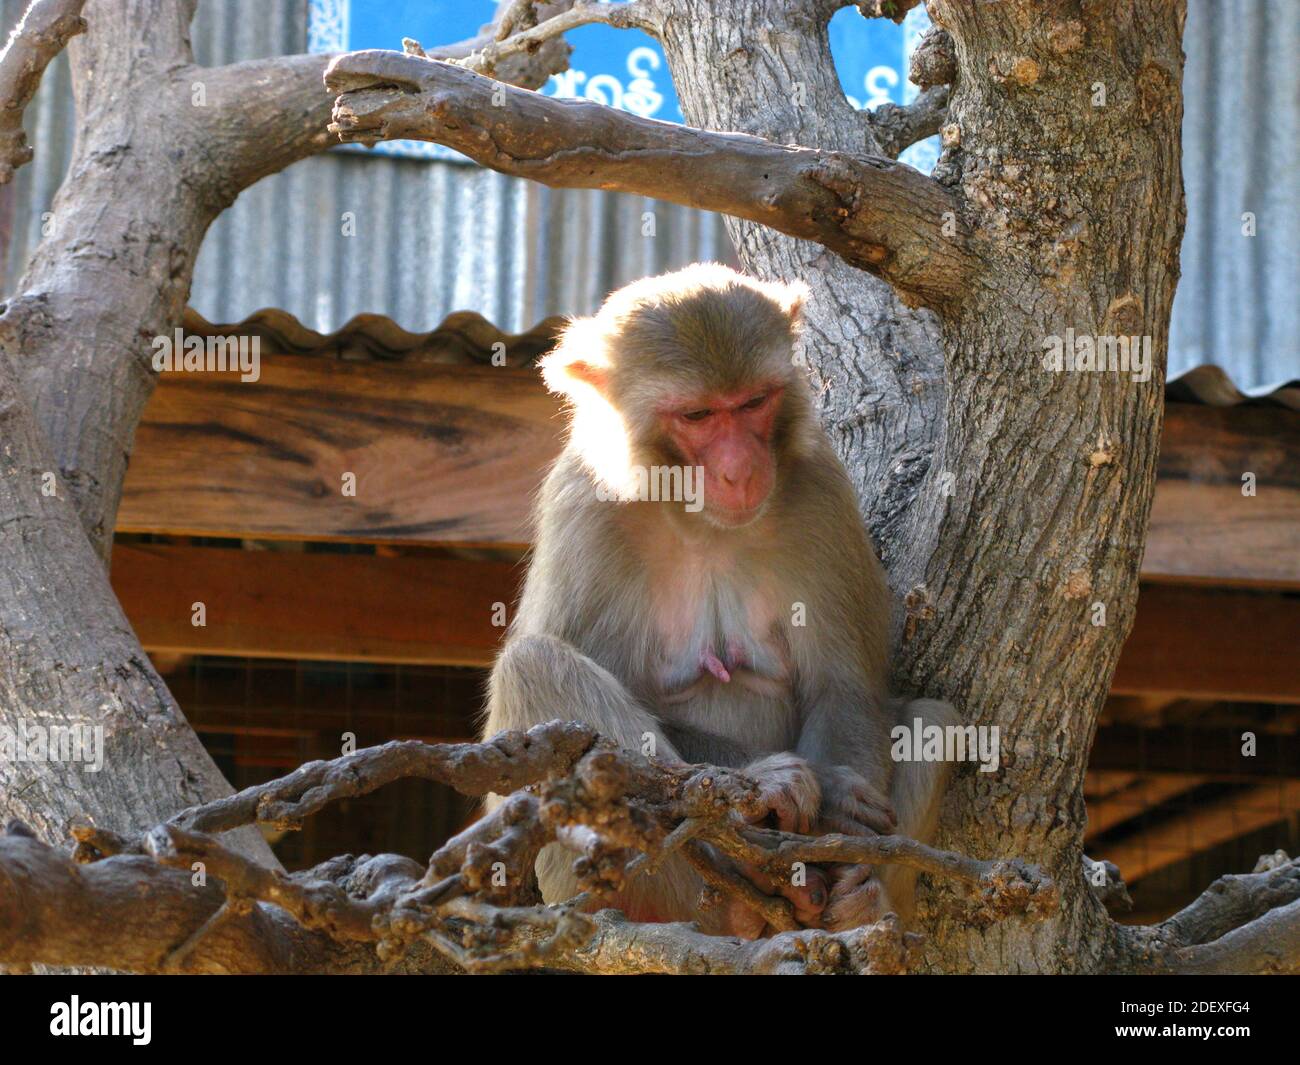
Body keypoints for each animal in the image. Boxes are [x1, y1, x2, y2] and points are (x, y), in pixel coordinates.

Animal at [483, 262, 957, 936]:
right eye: (699, 414)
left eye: (755, 402)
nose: (740, 470)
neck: (699, 518)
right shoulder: (585, 509)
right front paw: (794, 788)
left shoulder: (820, 489)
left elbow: (843, 691)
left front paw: (843, 830)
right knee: (533, 667)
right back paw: (738, 875)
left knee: (936, 723)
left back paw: (855, 904)